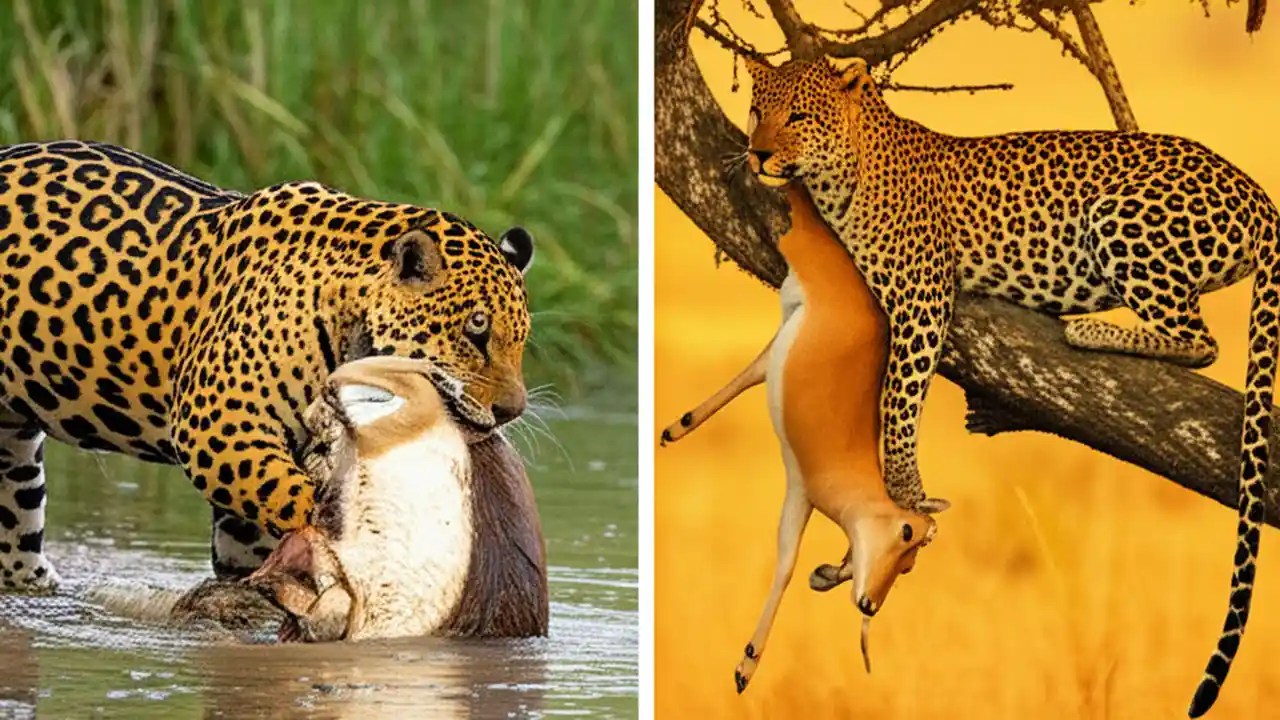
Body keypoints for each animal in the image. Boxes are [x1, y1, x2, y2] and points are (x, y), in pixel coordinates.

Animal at [0, 140, 534, 590]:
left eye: (522, 339)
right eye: (476, 329)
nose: (512, 411)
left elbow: (247, 542)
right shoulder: (217, 428)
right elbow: (299, 498)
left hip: (14, 449)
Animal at [743, 55, 1279, 717]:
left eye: (797, 116)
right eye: (756, 111)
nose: (757, 153)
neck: (844, 174)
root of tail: (1255, 191)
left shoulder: (921, 298)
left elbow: (898, 403)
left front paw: (905, 491)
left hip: (1120, 217)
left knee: (1201, 339)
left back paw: (1087, 327)